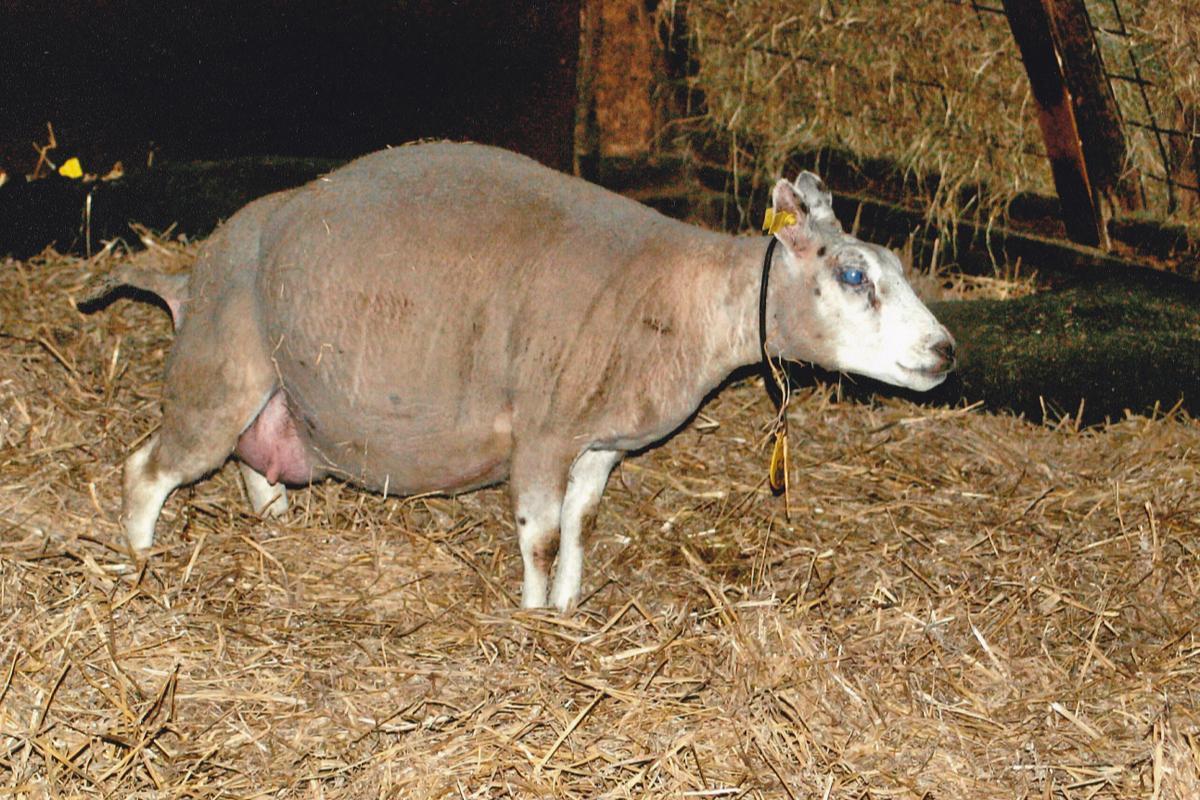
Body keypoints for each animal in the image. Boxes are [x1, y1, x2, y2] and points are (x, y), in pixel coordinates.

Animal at [83, 142, 955, 611]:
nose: (945, 351)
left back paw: (277, 535)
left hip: (274, 393)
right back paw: (141, 562)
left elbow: (581, 525)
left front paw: (569, 604)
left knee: (255, 466)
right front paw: (534, 616)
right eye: (853, 275)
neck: (682, 300)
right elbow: (538, 534)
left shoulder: (599, 444)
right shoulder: (542, 430)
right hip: (218, 371)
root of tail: (191, 274)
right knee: (147, 469)